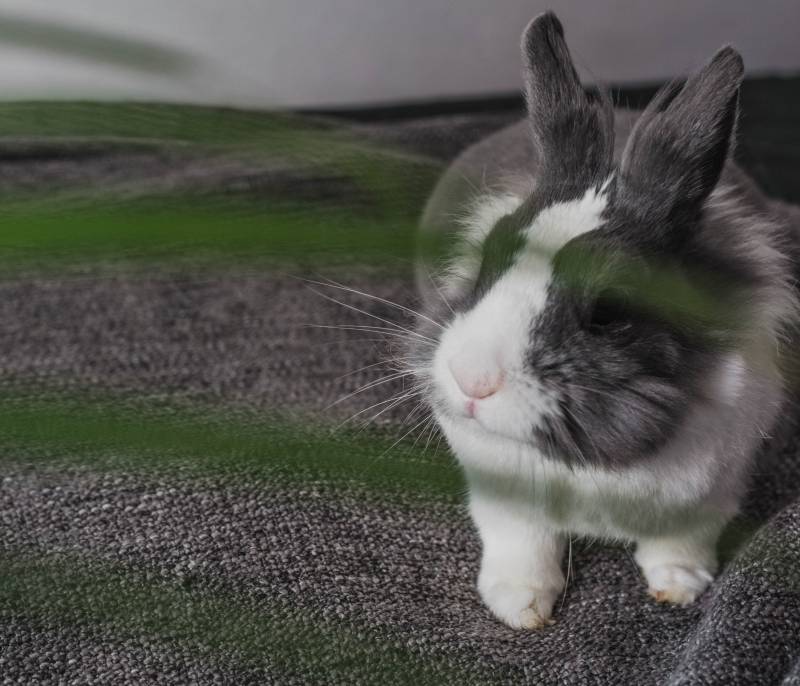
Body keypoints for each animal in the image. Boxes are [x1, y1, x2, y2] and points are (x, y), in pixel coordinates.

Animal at [408, 11, 800, 629]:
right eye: (487, 259)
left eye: (609, 310)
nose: (472, 381)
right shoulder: (501, 495)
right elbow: (522, 544)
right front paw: (520, 609)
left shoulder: (712, 491)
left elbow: (680, 543)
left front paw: (680, 588)